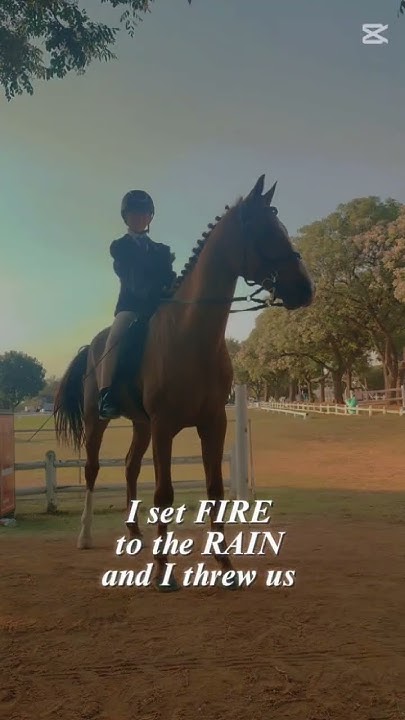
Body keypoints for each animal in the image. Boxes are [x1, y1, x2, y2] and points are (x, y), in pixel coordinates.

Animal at [54, 174, 314, 591]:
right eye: (265, 232)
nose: (305, 290)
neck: (191, 335)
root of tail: (93, 344)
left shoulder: (213, 423)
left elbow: (214, 490)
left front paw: (226, 566)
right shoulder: (165, 426)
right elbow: (164, 493)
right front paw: (164, 571)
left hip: (141, 424)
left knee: (129, 466)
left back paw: (134, 534)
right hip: (99, 420)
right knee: (93, 469)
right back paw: (85, 535)